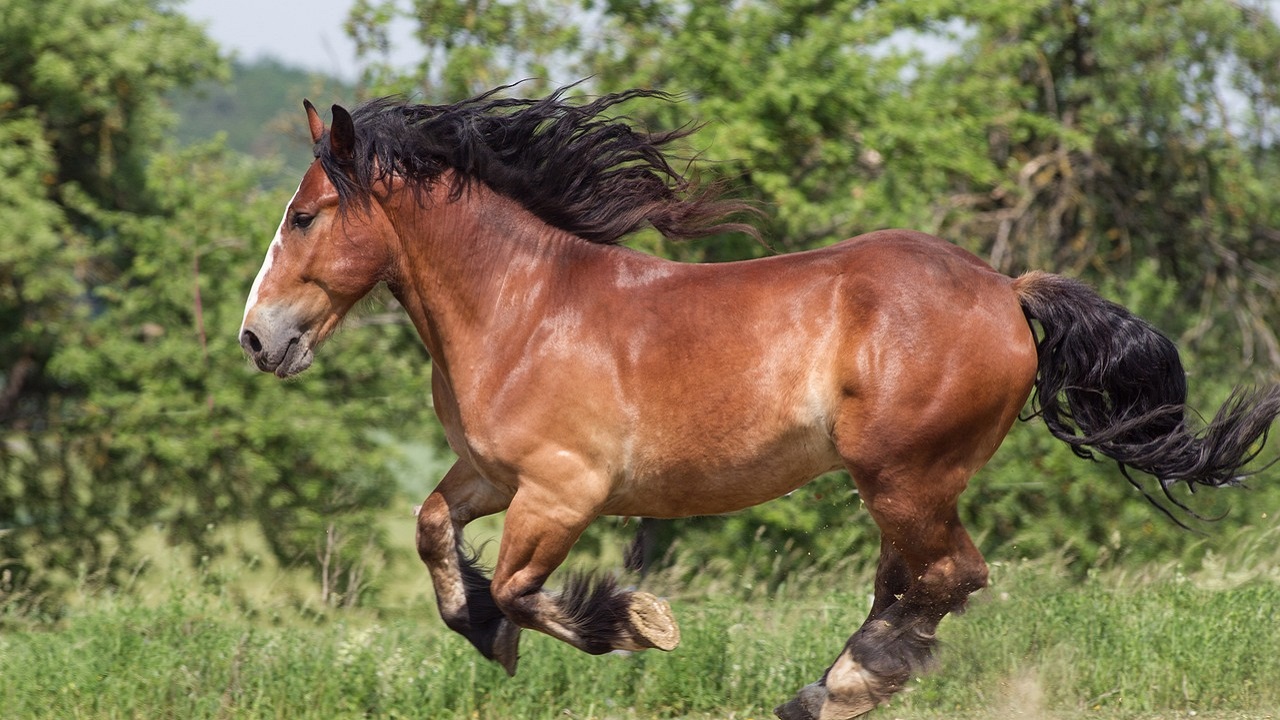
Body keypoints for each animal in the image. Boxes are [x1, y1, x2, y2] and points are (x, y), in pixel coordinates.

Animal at [238, 86, 1280, 720]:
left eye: (305, 216)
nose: (257, 339)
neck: (521, 308)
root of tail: (1004, 288)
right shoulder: (490, 477)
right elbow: (432, 532)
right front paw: (482, 629)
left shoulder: (563, 491)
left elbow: (527, 589)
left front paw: (635, 624)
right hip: (904, 486)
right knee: (914, 581)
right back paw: (832, 684)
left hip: (903, 474)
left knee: (948, 576)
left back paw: (841, 686)